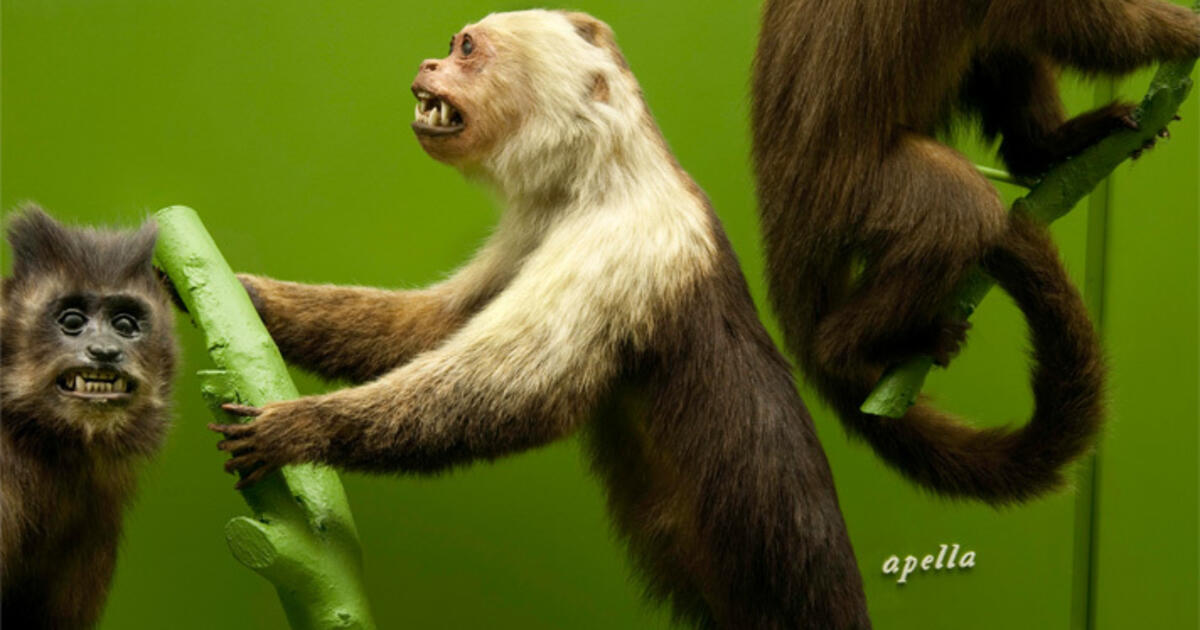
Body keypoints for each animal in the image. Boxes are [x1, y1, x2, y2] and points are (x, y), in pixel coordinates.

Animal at [209, 10, 871, 628]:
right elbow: (432, 327)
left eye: (466, 49)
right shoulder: (536, 219)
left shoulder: (624, 242)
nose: (429, 63)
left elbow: (527, 390)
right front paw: (250, 296)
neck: (598, 178)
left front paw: (302, 428)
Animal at [751, 0, 1200, 504]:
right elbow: (1080, 27)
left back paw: (1048, 147)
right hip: (846, 195)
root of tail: (782, 208)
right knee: (964, 208)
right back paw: (855, 348)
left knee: (997, 47)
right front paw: (1186, 31)